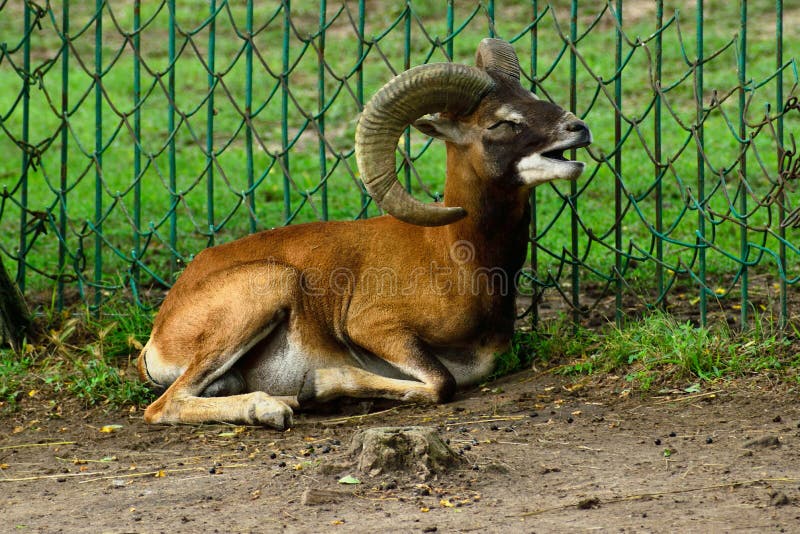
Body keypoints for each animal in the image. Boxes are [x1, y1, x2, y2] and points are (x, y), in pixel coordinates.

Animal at [137, 39, 591, 428]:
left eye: (532, 96)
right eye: (501, 123)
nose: (578, 128)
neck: (458, 257)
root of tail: (160, 332)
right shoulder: (375, 328)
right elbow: (440, 383)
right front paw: (317, 387)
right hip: (270, 285)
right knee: (163, 406)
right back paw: (271, 409)